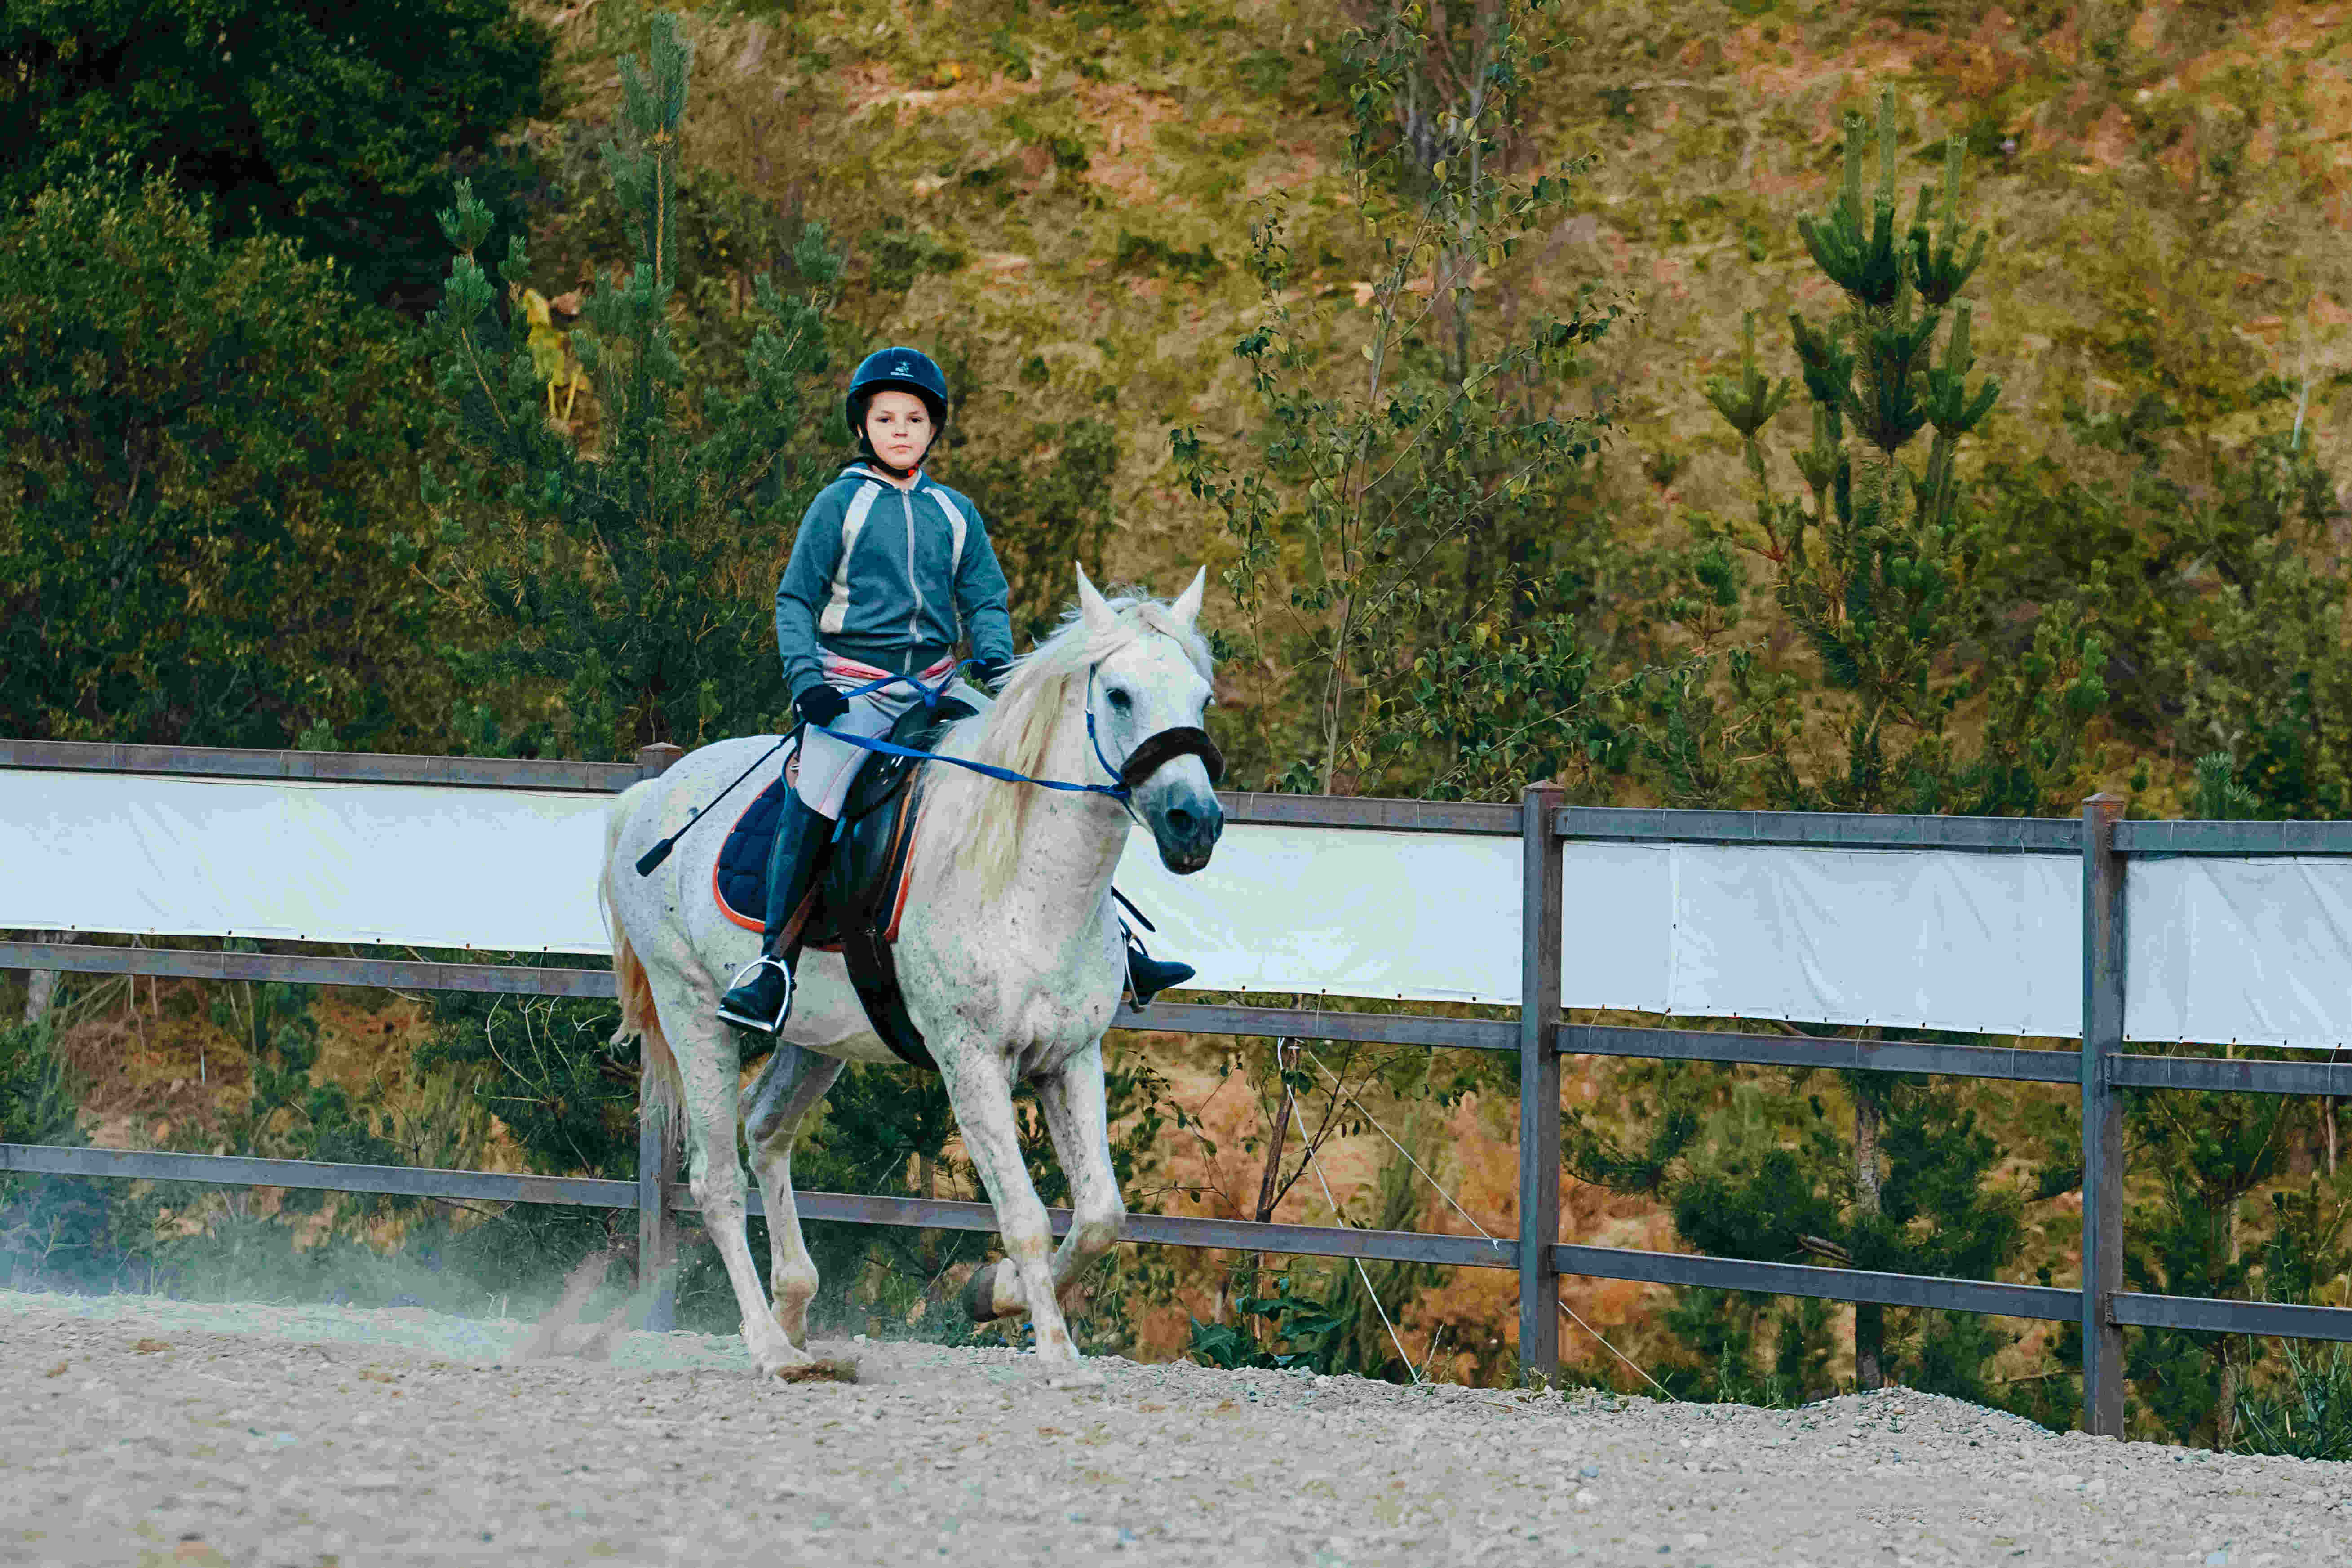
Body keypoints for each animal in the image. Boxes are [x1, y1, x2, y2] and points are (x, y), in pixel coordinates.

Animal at [600, 565, 1223, 1376]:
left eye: (1201, 697)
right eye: (1117, 695)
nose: (1194, 823)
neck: (1027, 879)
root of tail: (654, 791)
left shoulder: (1070, 1056)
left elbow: (1099, 1215)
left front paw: (996, 1293)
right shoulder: (973, 1062)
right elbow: (1024, 1214)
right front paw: (1054, 1349)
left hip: (815, 1038)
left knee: (765, 1128)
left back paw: (794, 1309)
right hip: (693, 1012)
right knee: (716, 1181)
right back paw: (770, 1347)